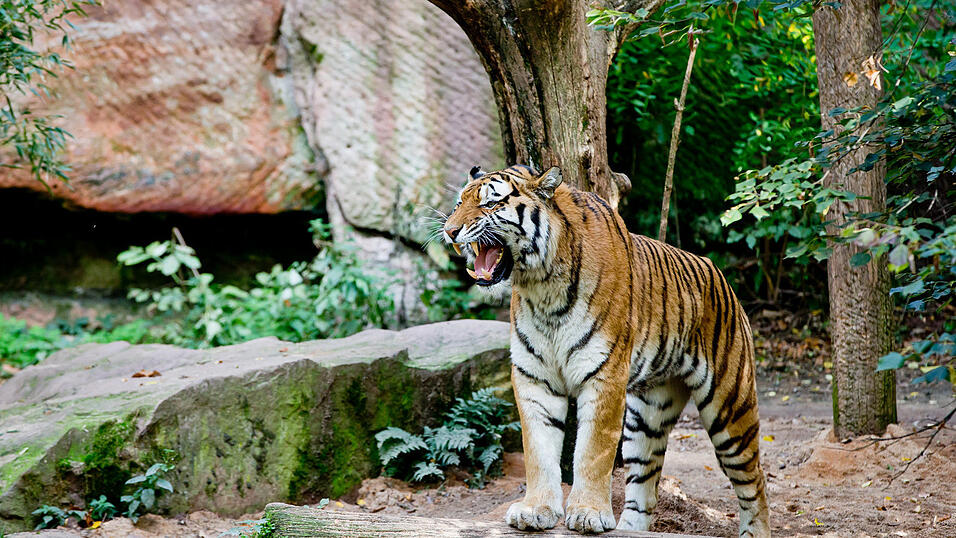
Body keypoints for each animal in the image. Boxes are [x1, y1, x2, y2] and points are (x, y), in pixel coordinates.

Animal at [441, 164, 770, 536]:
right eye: (459, 204)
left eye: (491, 204)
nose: (450, 231)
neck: (540, 285)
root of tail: (720, 275)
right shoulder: (534, 378)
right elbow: (538, 450)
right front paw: (535, 509)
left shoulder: (604, 375)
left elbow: (593, 451)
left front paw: (588, 513)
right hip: (648, 417)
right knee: (645, 485)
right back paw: (629, 527)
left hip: (730, 408)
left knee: (754, 479)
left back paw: (755, 530)